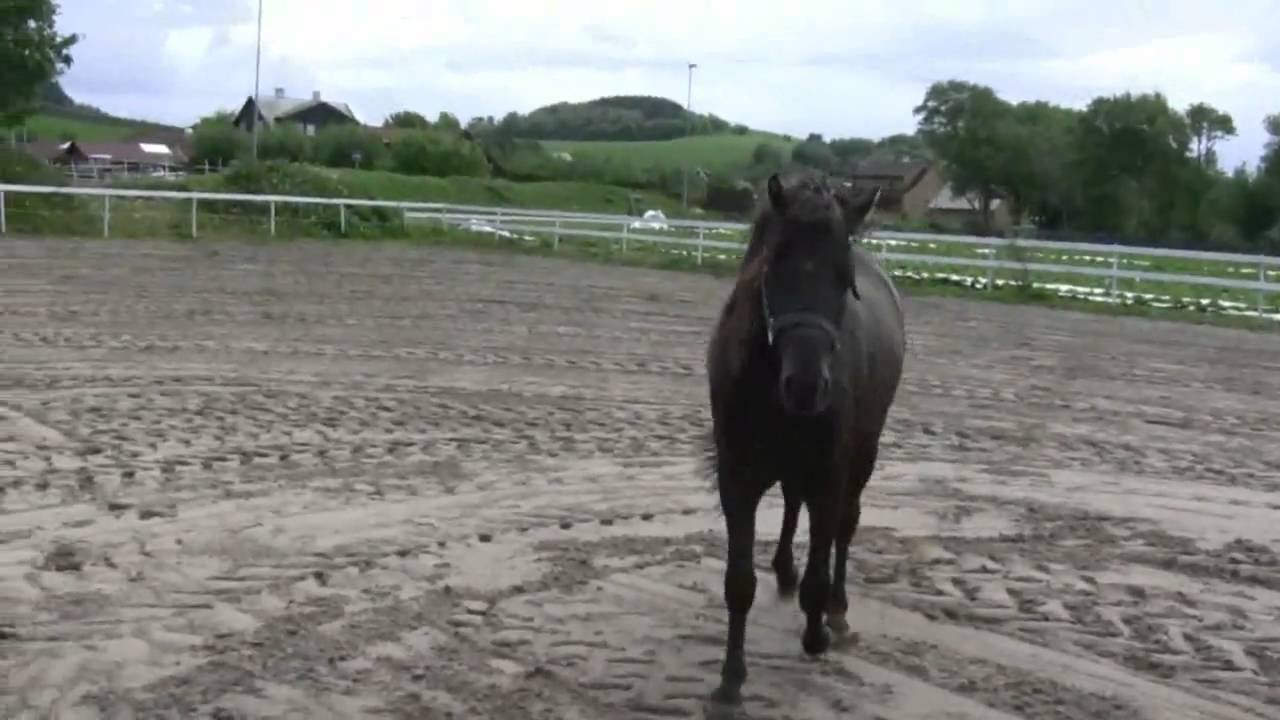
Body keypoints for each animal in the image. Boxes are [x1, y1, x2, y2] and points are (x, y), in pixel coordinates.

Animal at [702, 170, 906, 709]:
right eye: (775, 267)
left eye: (844, 280)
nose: (807, 386)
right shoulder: (737, 477)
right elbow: (739, 582)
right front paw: (730, 681)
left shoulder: (830, 475)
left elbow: (824, 553)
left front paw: (817, 634)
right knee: (794, 503)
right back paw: (784, 569)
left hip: (862, 456)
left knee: (844, 529)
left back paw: (836, 609)